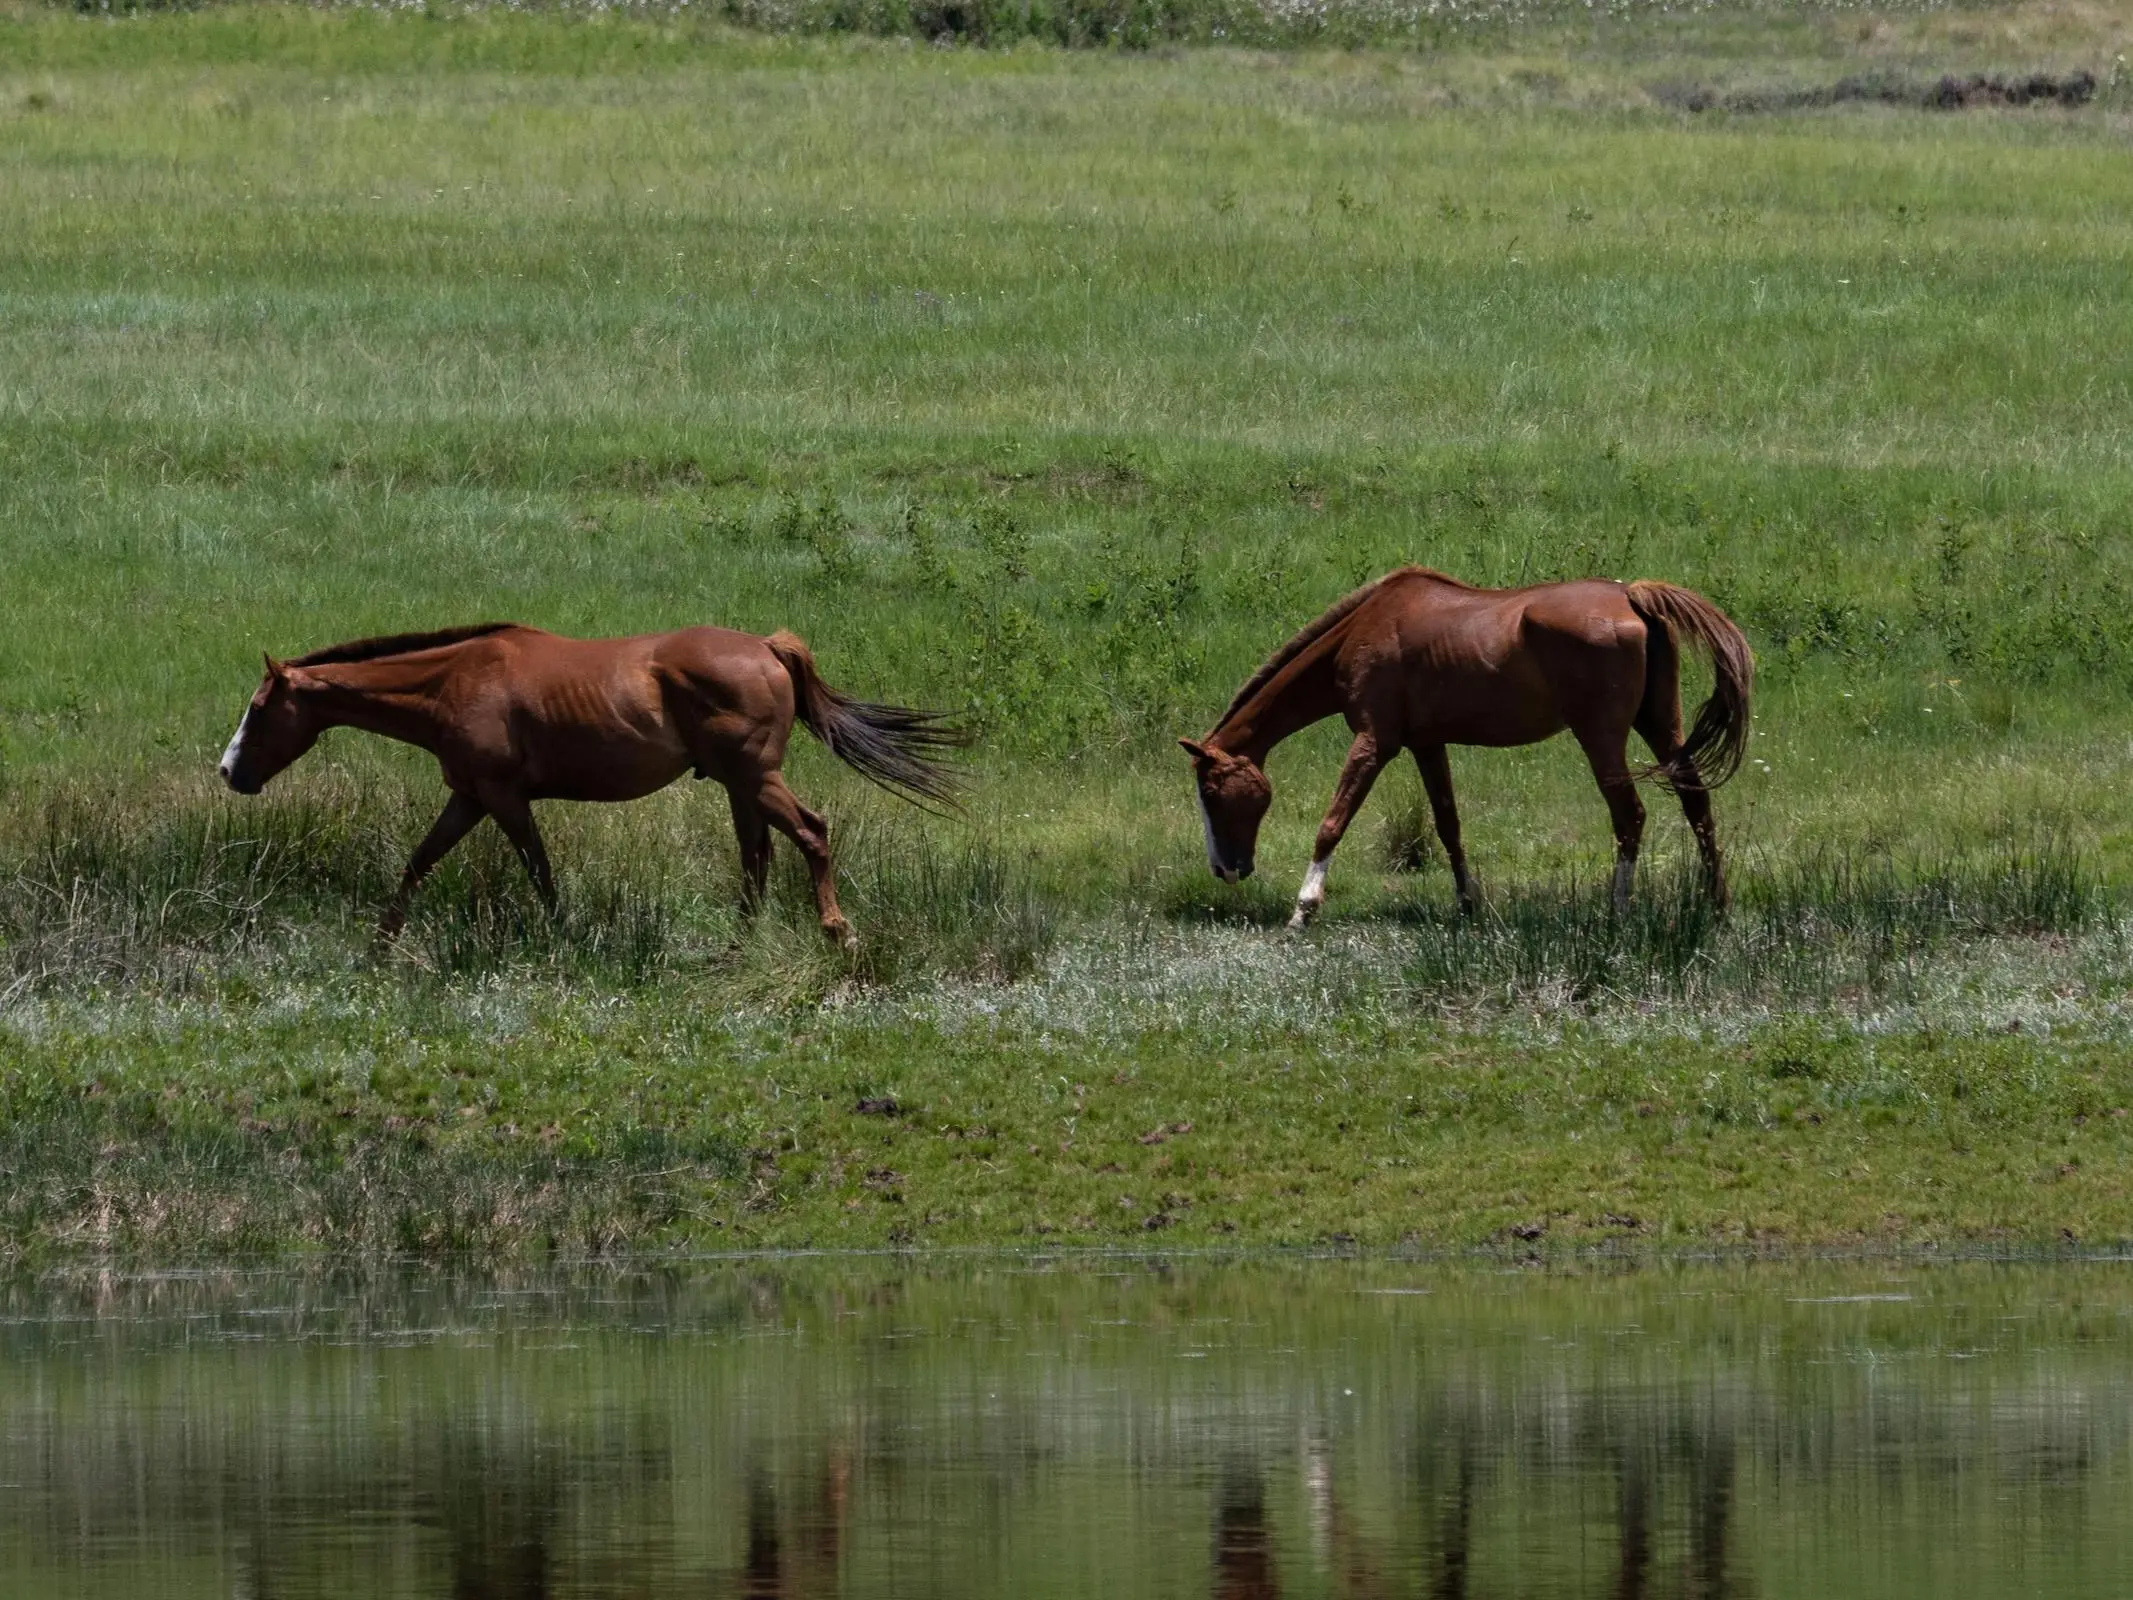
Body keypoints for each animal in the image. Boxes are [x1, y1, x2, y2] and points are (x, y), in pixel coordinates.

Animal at [218, 622, 962, 947]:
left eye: (257, 709)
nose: (229, 771)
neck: (453, 683)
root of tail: (767, 647)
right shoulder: (468, 797)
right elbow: (417, 865)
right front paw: (378, 947)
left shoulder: (502, 798)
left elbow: (539, 871)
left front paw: (563, 936)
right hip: (739, 786)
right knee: (757, 856)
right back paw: (742, 940)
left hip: (754, 778)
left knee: (810, 831)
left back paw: (836, 929)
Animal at [1180, 568, 1752, 929]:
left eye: (1209, 792)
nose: (1225, 869)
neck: (1365, 628)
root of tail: (1630, 597)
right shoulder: (1428, 745)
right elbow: (1448, 826)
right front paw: (1467, 903)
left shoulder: (1373, 743)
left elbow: (1332, 824)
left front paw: (1303, 909)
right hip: (1660, 726)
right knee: (1696, 802)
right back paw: (1719, 905)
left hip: (1602, 738)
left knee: (1630, 816)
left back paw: (1619, 911)